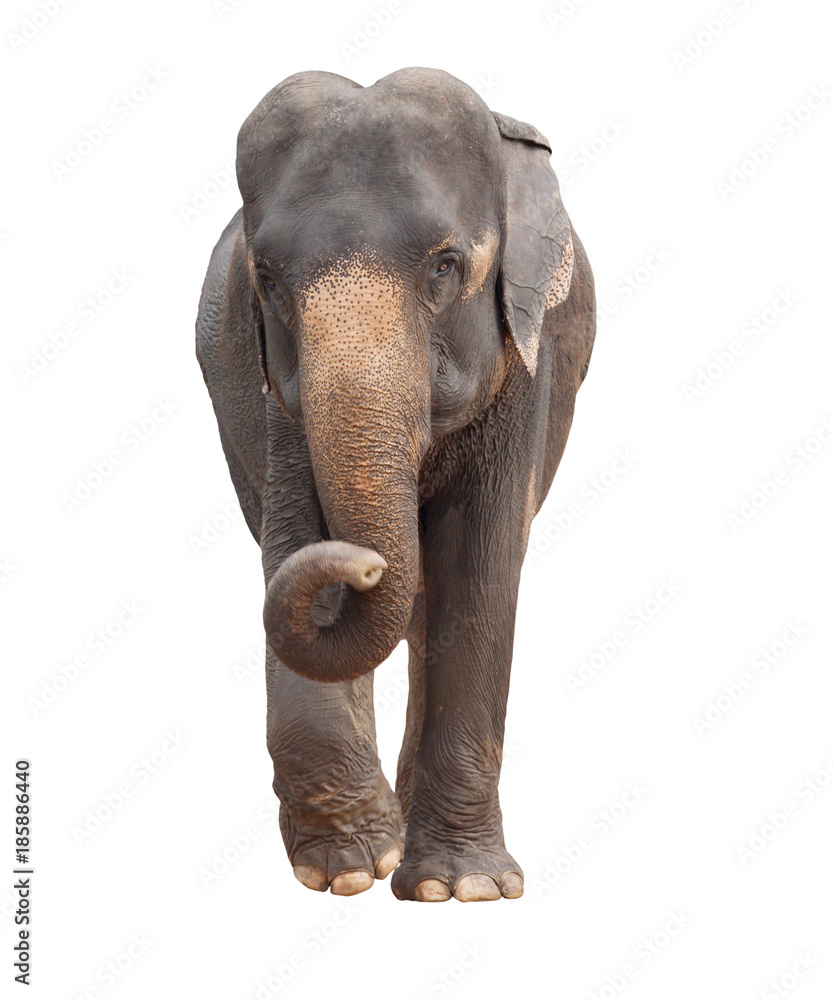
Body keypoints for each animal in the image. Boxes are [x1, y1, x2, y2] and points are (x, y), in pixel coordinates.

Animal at [196, 68, 595, 902]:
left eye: (444, 265)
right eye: (266, 278)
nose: (368, 564)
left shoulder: (529, 365)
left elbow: (479, 563)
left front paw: (463, 888)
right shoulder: (276, 396)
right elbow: (296, 545)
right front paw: (348, 869)